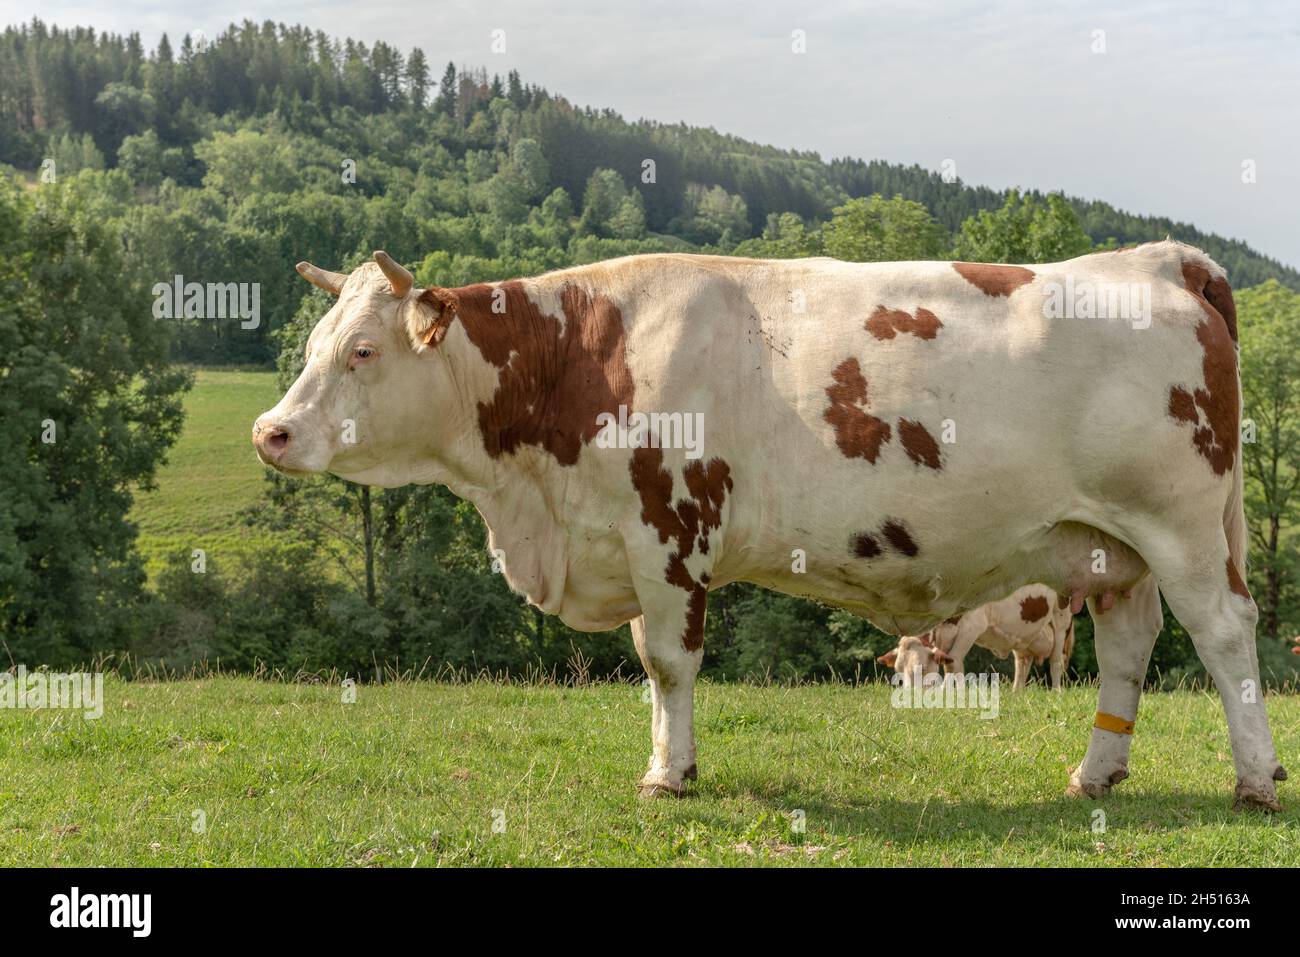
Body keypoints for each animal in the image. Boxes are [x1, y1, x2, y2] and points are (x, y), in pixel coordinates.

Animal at [878, 584, 1075, 690]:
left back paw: (1056, 692)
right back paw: (1016, 694)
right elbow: (950, 663)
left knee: (1056, 662)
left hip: (1061, 621)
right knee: (1022, 664)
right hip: (1023, 635)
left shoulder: (972, 626)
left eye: (923, 668)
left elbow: (953, 662)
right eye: (898, 670)